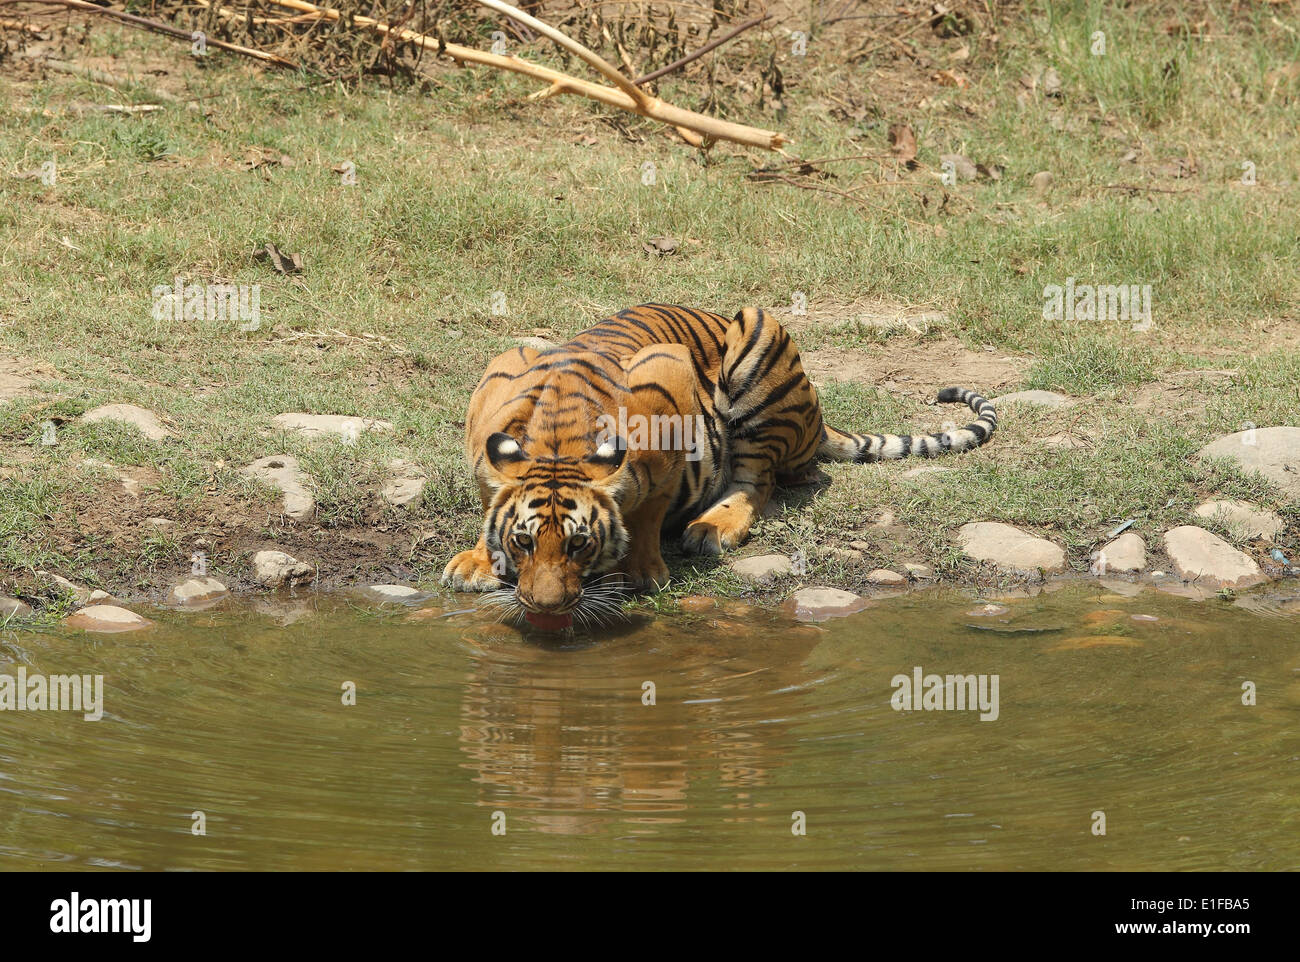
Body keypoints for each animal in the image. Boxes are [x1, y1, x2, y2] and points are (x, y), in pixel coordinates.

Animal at [441, 304, 998, 630]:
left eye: (580, 545)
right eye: (523, 542)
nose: (546, 608)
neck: (558, 443)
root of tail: (820, 415)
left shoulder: (670, 382)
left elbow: (650, 507)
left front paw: (642, 571)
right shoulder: (500, 373)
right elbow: (491, 496)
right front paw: (476, 562)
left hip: (758, 336)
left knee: (761, 481)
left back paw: (713, 527)